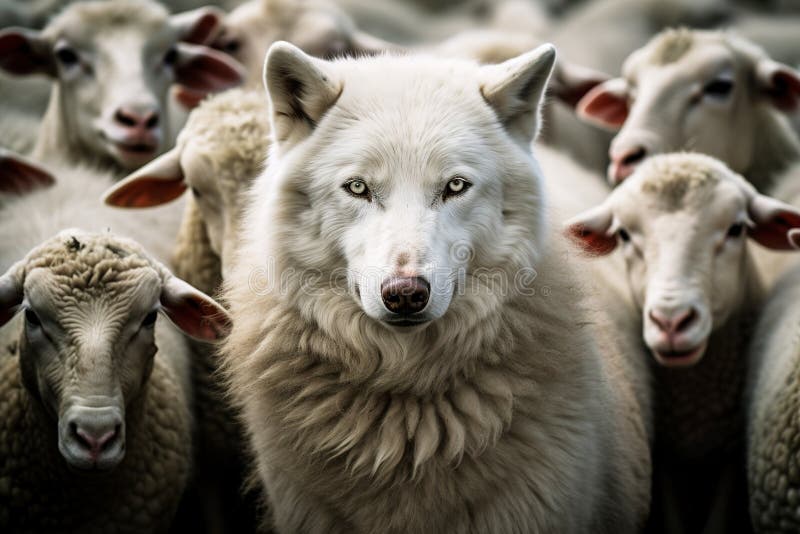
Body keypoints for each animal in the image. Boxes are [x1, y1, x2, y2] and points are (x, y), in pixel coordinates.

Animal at [566, 152, 800, 533]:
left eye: (736, 229)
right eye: (624, 235)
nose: (671, 321)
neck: (695, 413)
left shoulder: (726, 458)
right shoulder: (667, 462)